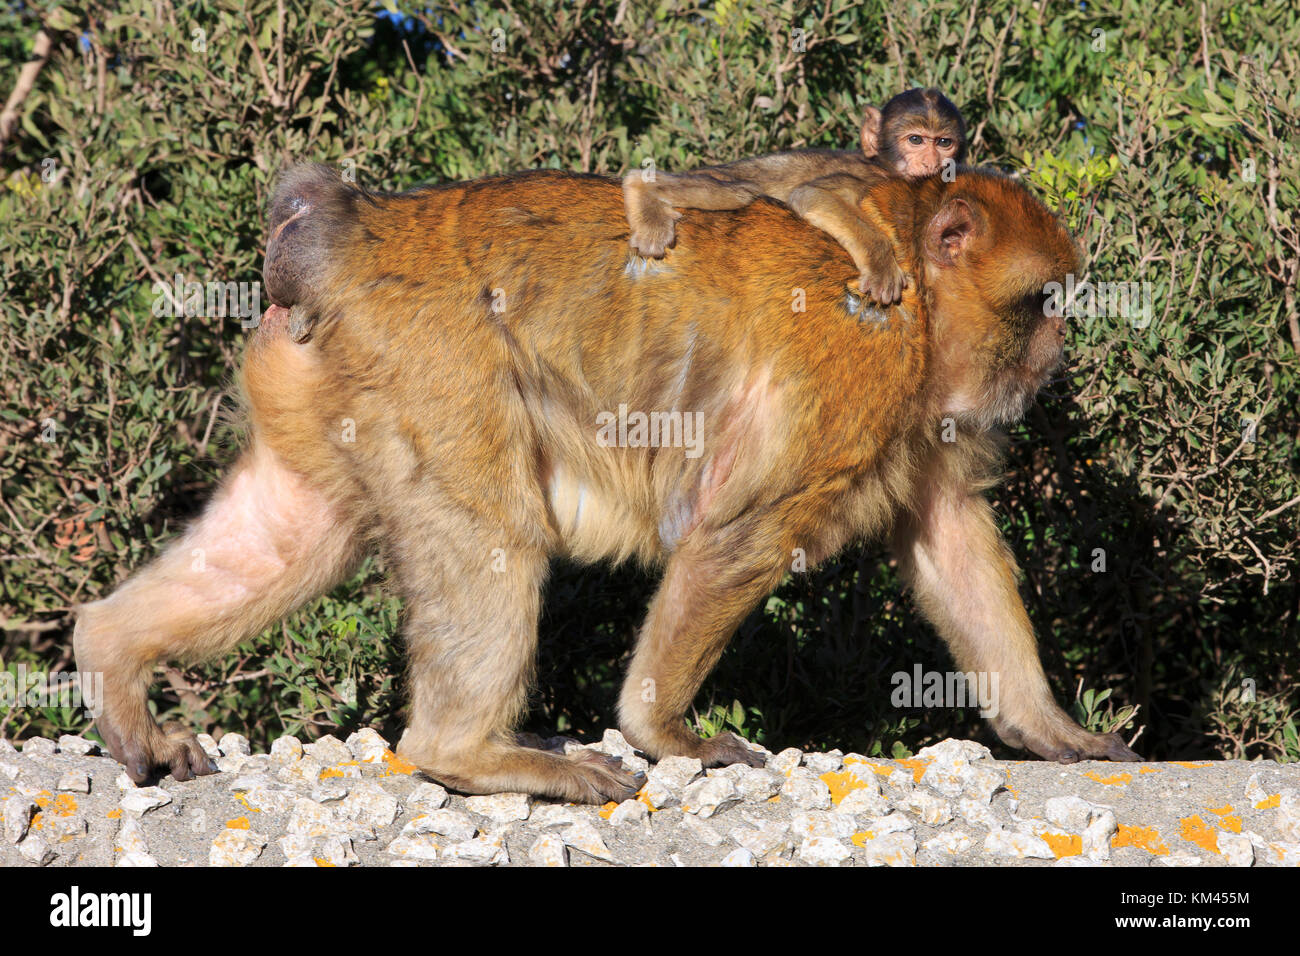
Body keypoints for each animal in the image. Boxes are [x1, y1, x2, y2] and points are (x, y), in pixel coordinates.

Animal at [72, 162, 1138, 803]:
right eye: (1039, 301)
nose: (1054, 351)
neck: (913, 288)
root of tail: (351, 232)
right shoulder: (858, 367)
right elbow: (738, 531)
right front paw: (664, 732)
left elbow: (949, 529)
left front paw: (1050, 728)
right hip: (431, 368)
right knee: (490, 536)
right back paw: (466, 752)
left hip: (323, 385)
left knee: (289, 537)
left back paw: (109, 656)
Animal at [623, 87, 966, 304]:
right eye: (916, 140)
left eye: (944, 142)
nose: (932, 163)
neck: (882, 166)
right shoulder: (867, 180)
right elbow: (812, 194)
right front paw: (882, 266)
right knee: (740, 193)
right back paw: (641, 186)